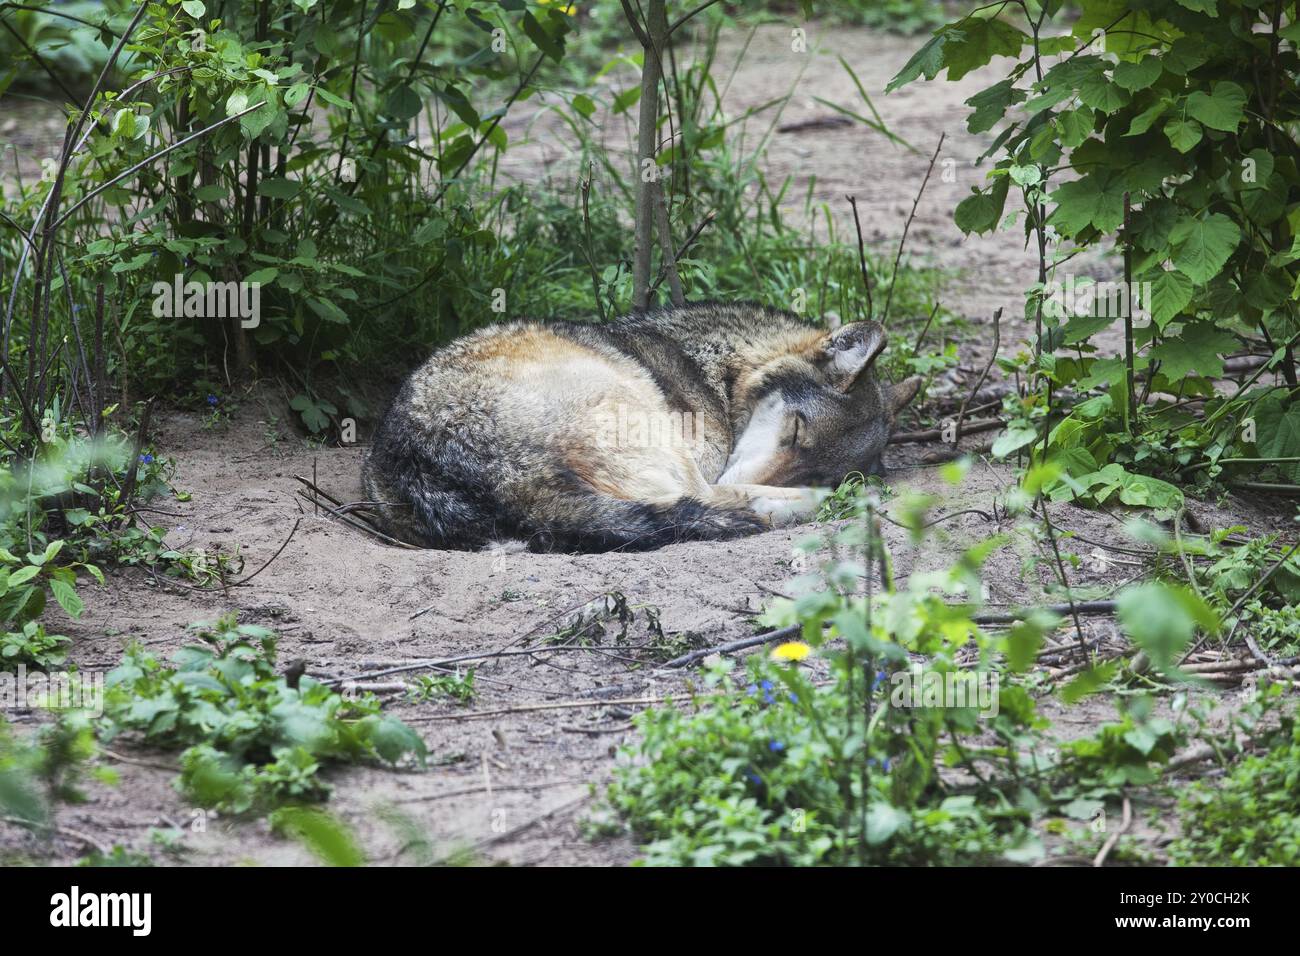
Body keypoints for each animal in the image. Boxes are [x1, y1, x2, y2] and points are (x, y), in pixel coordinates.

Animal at [362, 301, 920, 551]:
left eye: (809, 461)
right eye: (797, 431)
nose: (818, 485)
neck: (718, 370)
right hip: (641, 414)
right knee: (707, 499)